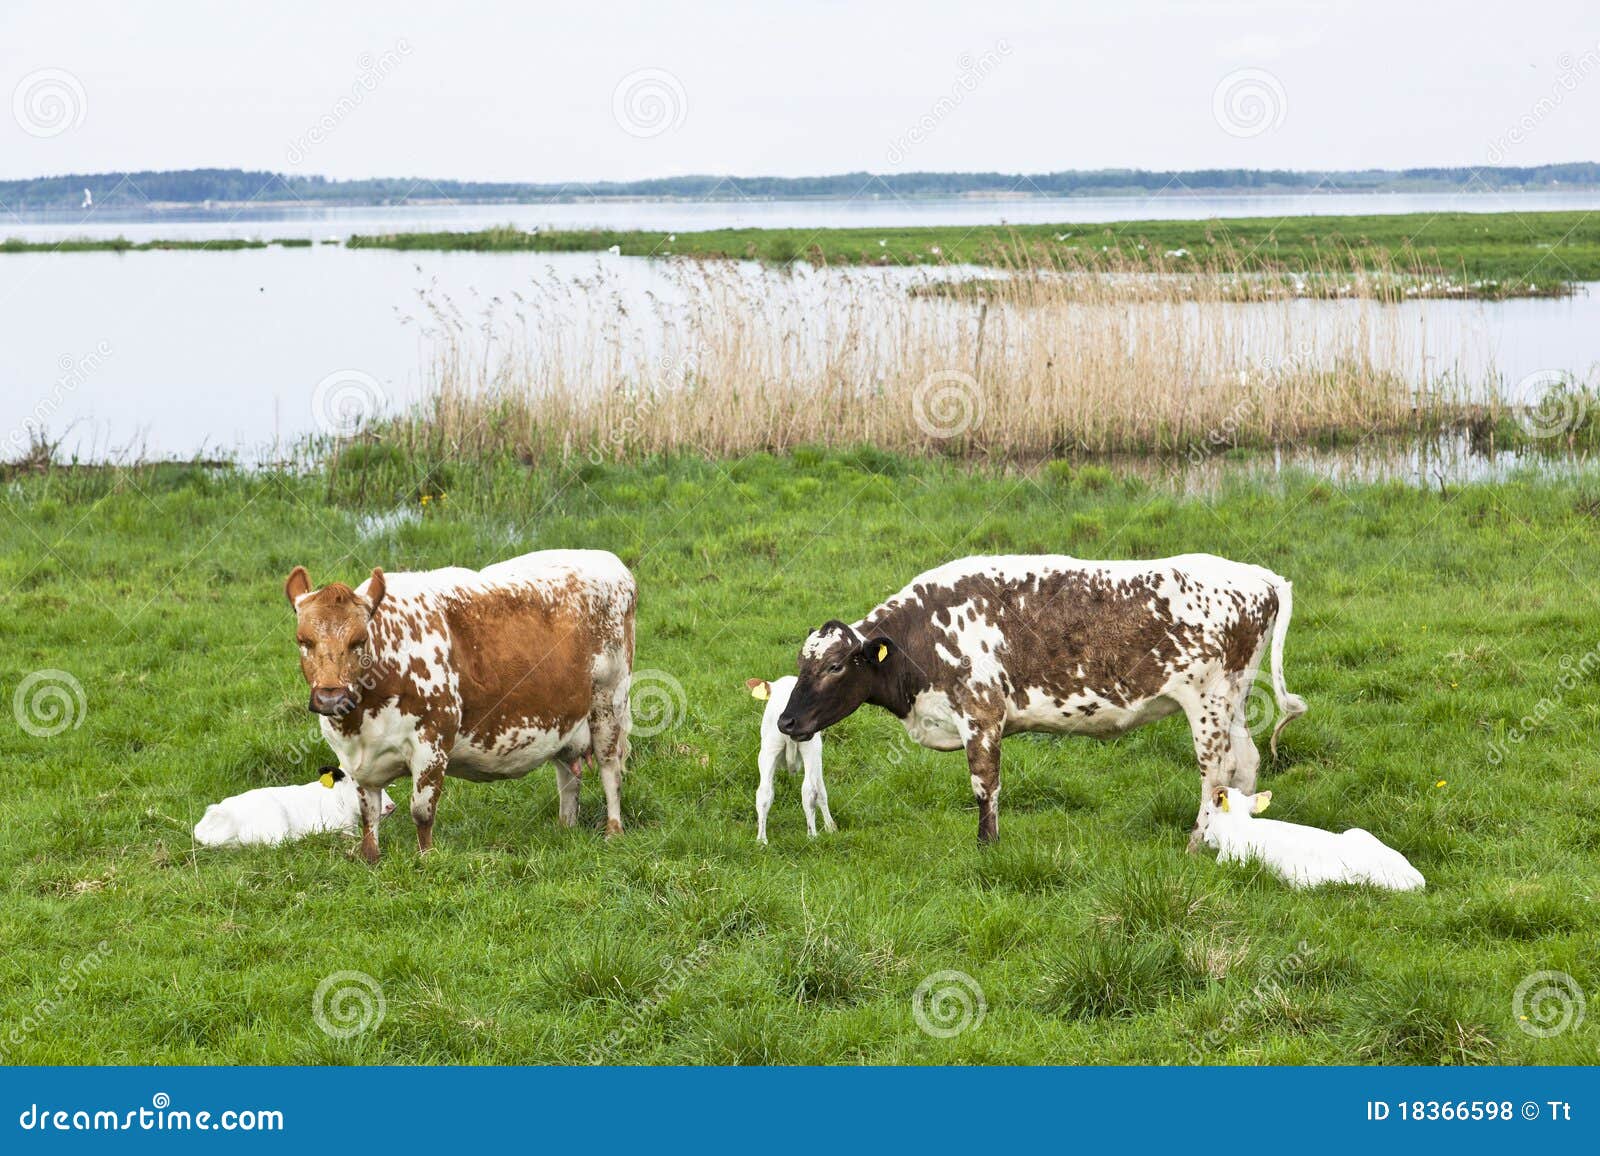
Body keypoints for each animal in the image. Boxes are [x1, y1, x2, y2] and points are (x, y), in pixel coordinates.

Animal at [284, 550, 637, 862]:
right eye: (303, 640)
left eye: (358, 640)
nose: (330, 696)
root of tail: (610, 561)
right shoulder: (355, 761)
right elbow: (368, 815)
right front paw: (370, 858)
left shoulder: (432, 743)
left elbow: (421, 811)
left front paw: (426, 859)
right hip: (565, 720)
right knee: (567, 774)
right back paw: (565, 828)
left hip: (608, 702)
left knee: (609, 767)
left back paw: (613, 830)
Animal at [776, 553, 1305, 848]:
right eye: (802, 663)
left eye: (835, 666)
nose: (786, 722)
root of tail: (1257, 574)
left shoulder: (982, 714)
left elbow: (984, 786)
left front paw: (987, 847)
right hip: (1237, 697)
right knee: (1246, 760)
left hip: (1208, 700)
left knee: (1215, 769)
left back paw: (1198, 840)